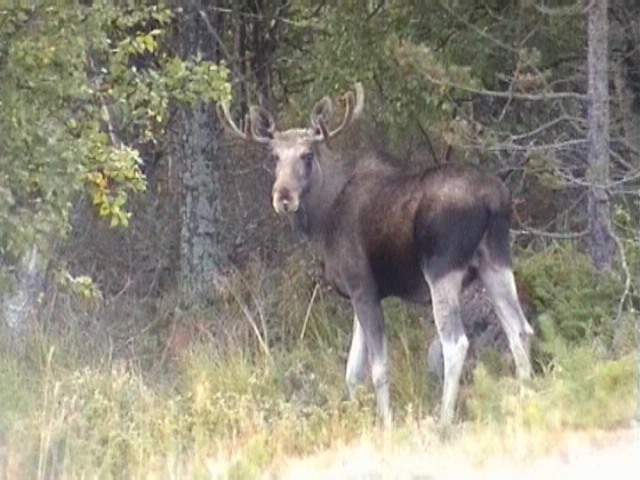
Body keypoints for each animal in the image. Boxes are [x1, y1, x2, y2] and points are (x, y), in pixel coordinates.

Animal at [218, 83, 533, 426]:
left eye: (307, 154)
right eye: (274, 156)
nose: (284, 197)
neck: (323, 219)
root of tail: (494, 199)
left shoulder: (362, 286)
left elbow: (378, 368)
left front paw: (385, 422)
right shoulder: (364, 293)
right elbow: (352, 371)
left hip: (442, 268)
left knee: (455, 343)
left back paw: (444, 420)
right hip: (496, 259)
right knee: (519, 329)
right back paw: (527, 397)